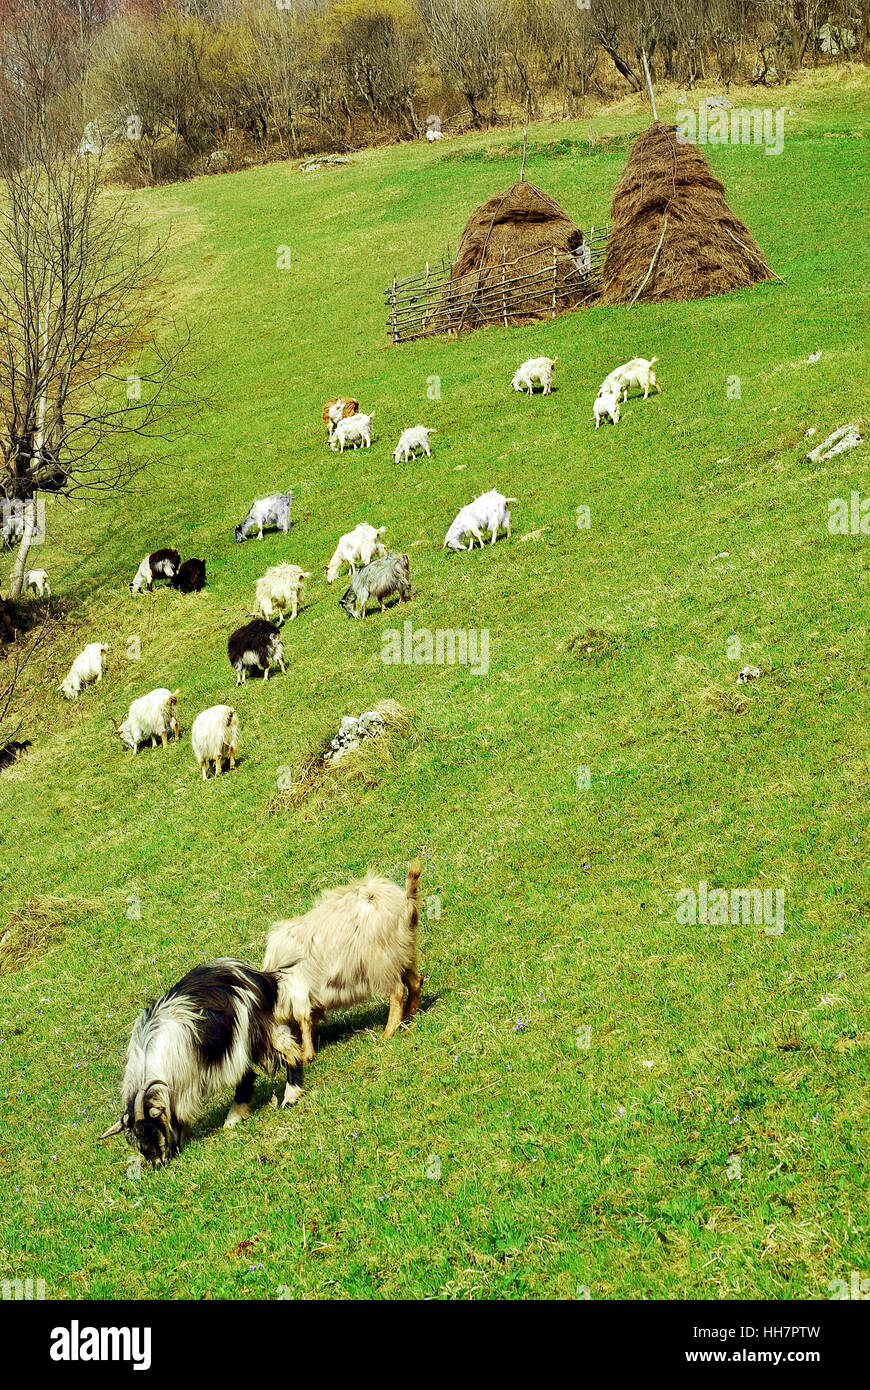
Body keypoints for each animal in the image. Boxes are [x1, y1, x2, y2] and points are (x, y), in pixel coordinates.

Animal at [98, 959, 302, 1165]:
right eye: (134, 1141)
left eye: (148, 1130)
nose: (158, 1164)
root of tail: (253, 974)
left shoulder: (184, 1084)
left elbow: (178, 1115)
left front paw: (178, 1143)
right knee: (248, 1073)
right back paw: (235, 1116)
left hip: (254, 1028)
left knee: (288, 1051)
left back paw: (290, 1097)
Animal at [232, 859, 423, 1110]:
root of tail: (404, 900)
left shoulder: (298, 992)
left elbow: (303, 1021)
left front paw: (307, 1054)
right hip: (402, 955)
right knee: (416, 982)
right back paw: (409, 1014)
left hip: (382, 963)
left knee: (397, 991)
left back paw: (389, 1031)